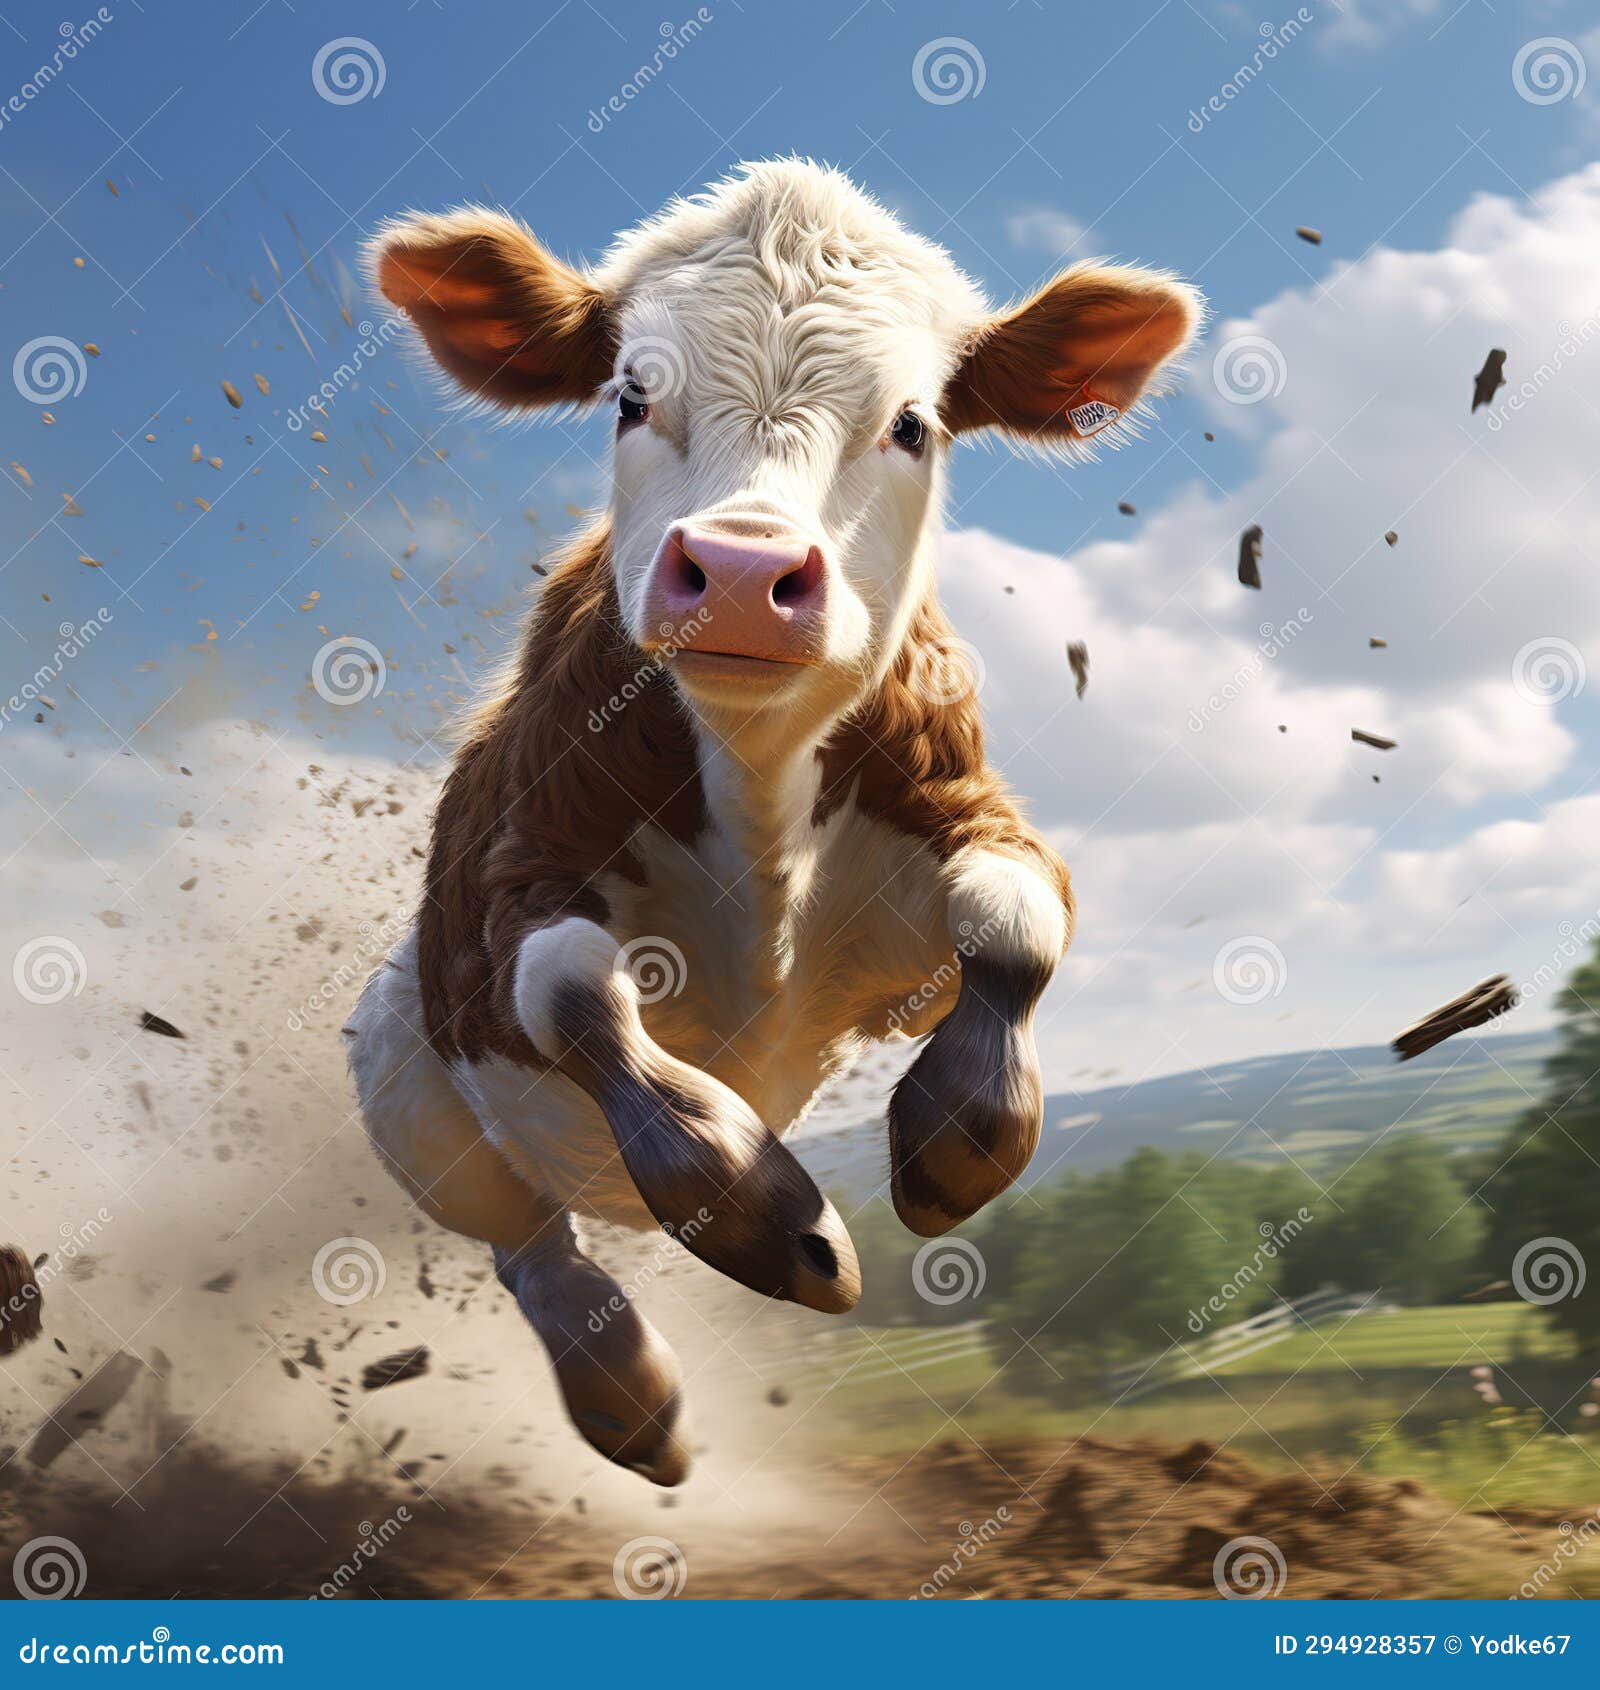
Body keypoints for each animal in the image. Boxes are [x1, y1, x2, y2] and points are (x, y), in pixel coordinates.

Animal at [348, 160, 1200, 1486]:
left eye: (913, 422)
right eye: (631, 396)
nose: (744, 575)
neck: (756, 792)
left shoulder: (967, 822)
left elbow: (1012, 921)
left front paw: (955, 1136)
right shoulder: (513, 881)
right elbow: (573, 986)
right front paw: (762, 1209)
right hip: (404, 1070)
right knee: (534, 1248)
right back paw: (628, 1396)